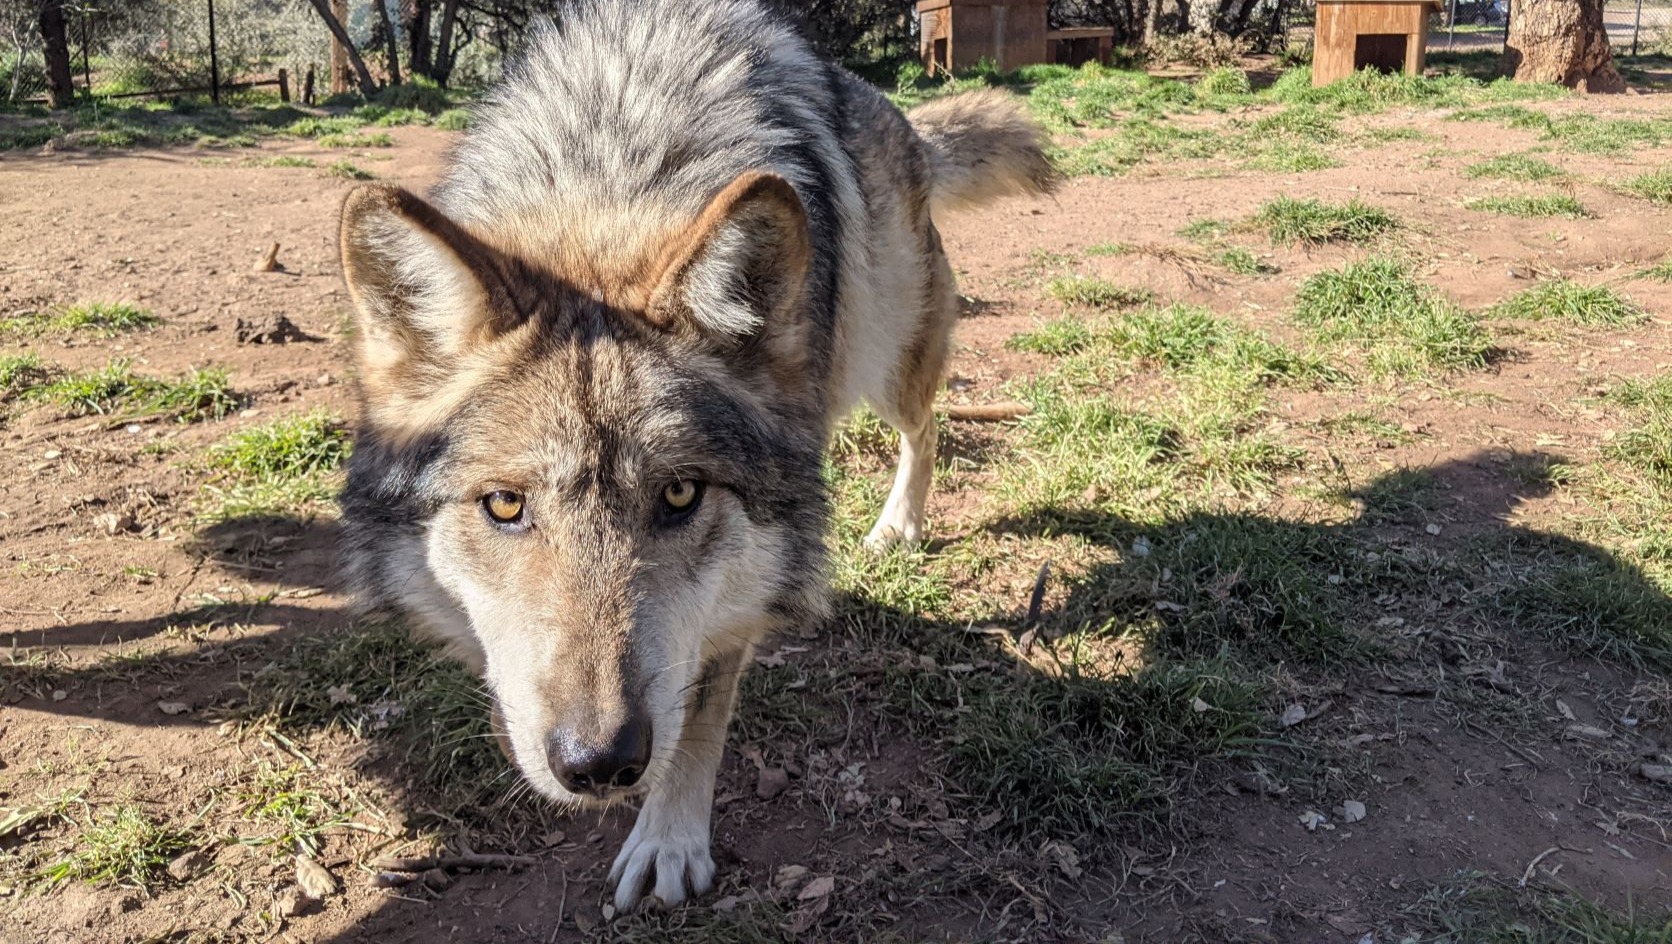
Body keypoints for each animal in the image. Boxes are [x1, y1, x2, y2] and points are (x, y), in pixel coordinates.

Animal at [336, 0, 1053, 910]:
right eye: (504, 505)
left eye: (679, 496)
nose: (598, 765)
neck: (610, 172)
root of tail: (898, 117)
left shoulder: (743, 585)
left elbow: (703, 706)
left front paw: (668, 840)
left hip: (890, 359)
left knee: (927, 430)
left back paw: (898, 525)